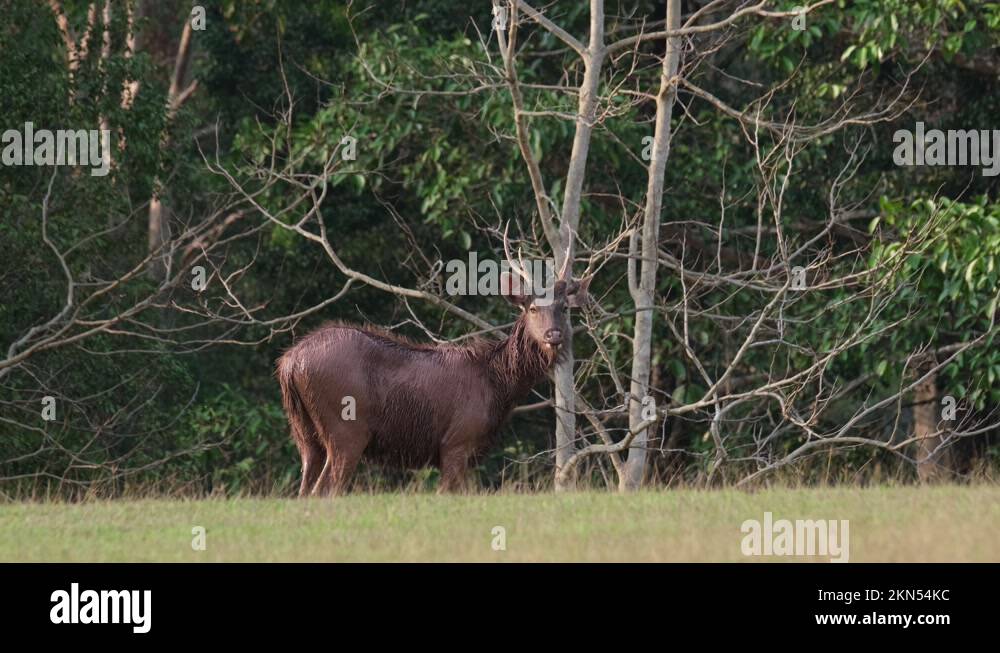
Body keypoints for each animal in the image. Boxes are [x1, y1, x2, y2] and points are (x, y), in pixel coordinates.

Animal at [276, 227, 590, 495]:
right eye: (533, 308)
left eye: (564, 307)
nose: (553, 334)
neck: (498, 387)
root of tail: (289, 363)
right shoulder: (457, 441)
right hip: (346, 428)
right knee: (325, 490)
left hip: (305, 434)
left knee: (305, 488)